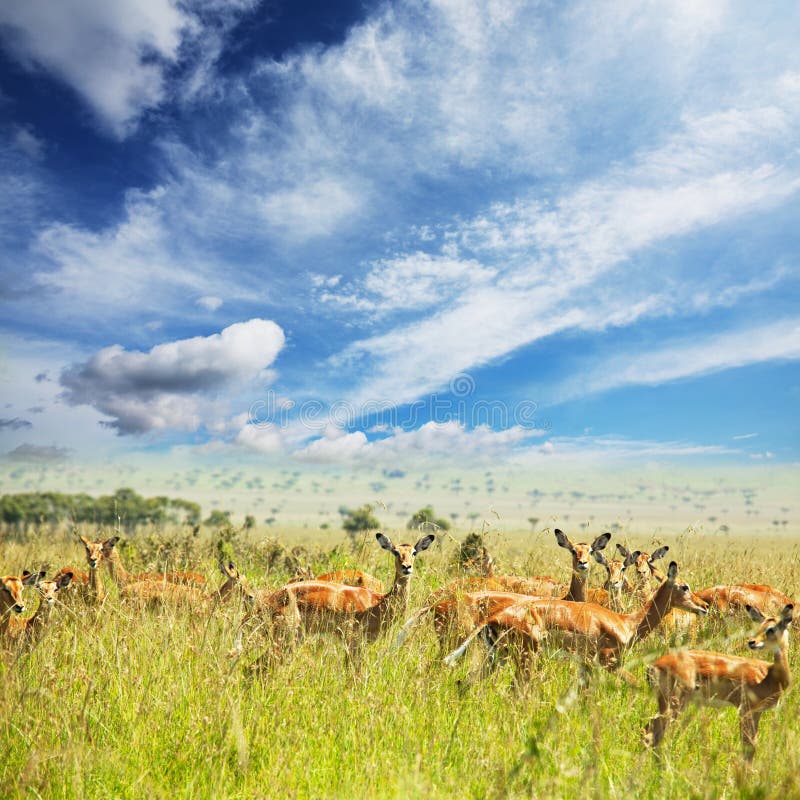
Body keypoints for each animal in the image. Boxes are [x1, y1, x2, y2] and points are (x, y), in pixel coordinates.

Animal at [248, 532, 434, 662]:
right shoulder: (354, 643)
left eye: (414, 552)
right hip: (286, 639)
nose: (406, 567)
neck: (378, 602)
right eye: (395, 551)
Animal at [445, 562, 708, 684]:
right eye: (684, 586)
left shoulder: (586, 666)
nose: (704, 606)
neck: (627, 623)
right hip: (524, 657)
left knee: (463, 683)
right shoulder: (608, 662)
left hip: (497, 658)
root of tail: (494, 618)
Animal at [644, 604, 793, 762]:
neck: (769, 675)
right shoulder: (745, 710)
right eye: (760, 626)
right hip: (674, 703)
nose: (752, 642)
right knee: (651, 733)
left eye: (771, 628)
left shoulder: (757, 712)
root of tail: (653, 665)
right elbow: (748, 748)